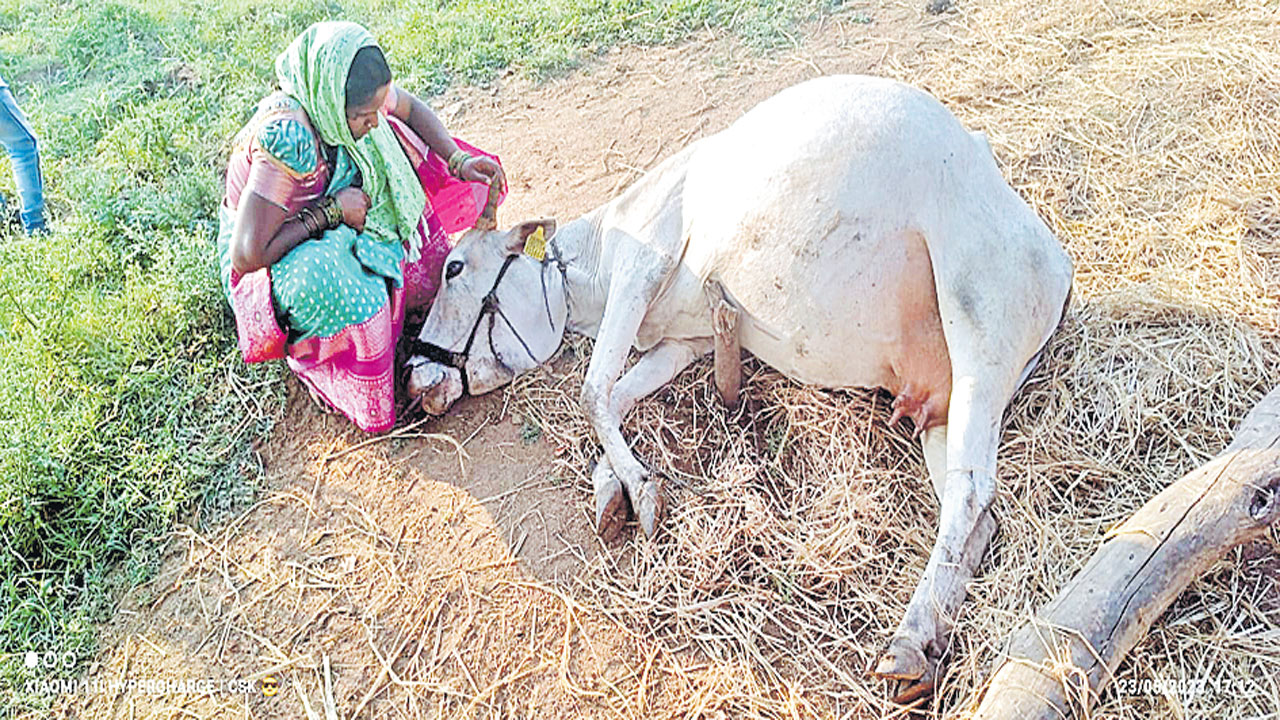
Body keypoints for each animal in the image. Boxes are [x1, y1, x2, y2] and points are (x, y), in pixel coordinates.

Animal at [404, 75, 1074, 701]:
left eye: (454, 268)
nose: (412, 377)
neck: (590, 262)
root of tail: (1057, 258)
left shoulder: (640, 269)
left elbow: (593, 392)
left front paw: (642, 491)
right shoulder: (685, 343)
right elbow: (614, 398)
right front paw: (612, 490)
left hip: (977, 326)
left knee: (972, 491)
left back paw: (908, 640)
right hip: (945, 408)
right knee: (979, 513)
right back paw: (930, 641)